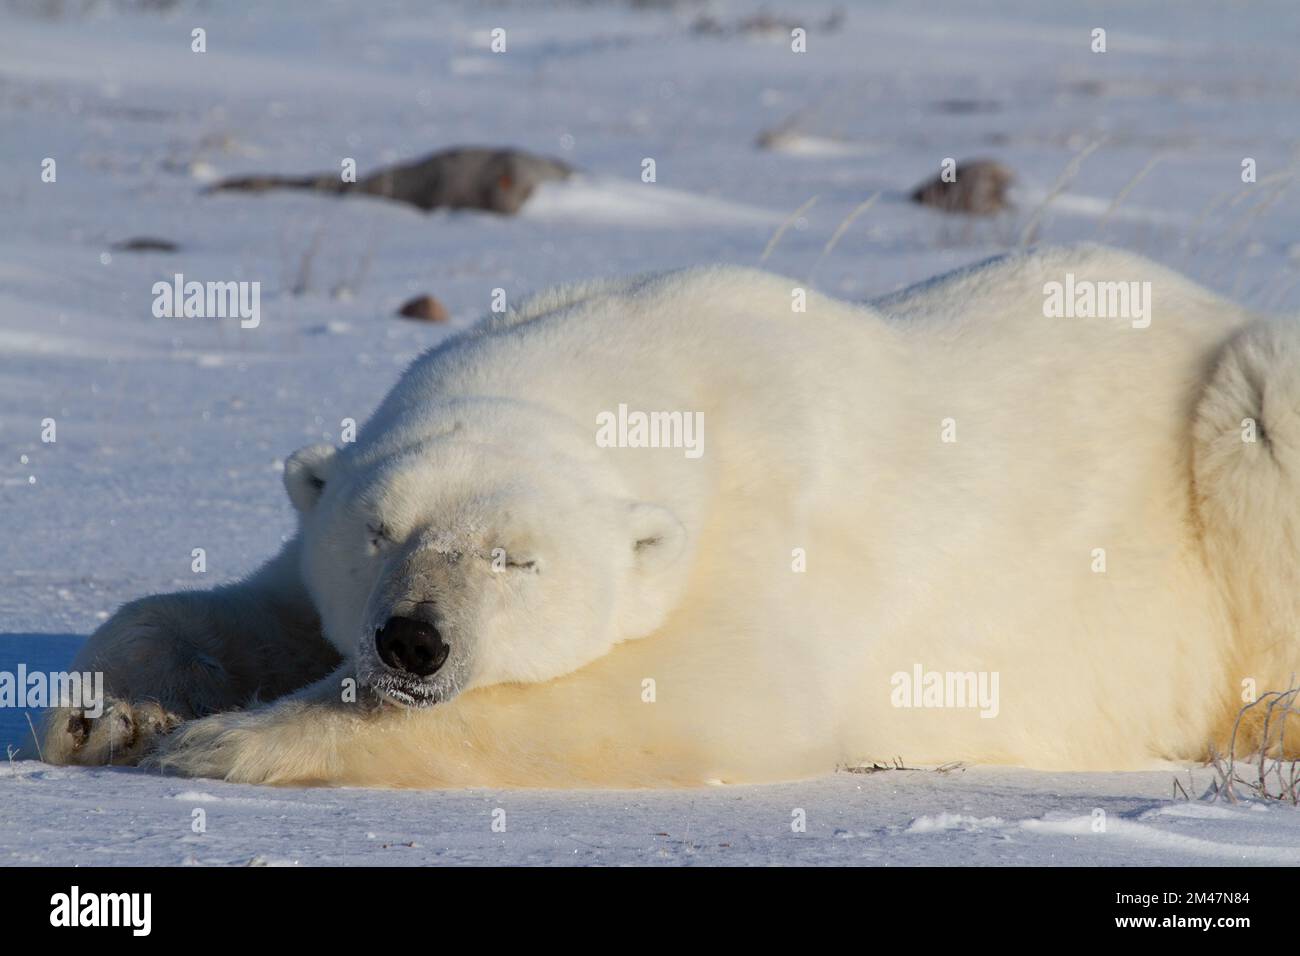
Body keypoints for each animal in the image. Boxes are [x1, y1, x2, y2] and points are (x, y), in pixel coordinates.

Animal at [43, 244, 1300, 787]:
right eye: (377, 530)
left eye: (517, 558)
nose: (411, 641)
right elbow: (252, 603)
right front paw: (108, 711)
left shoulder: (778, 526)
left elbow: (708, 695)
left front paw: (229, 740)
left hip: (1237, 419)